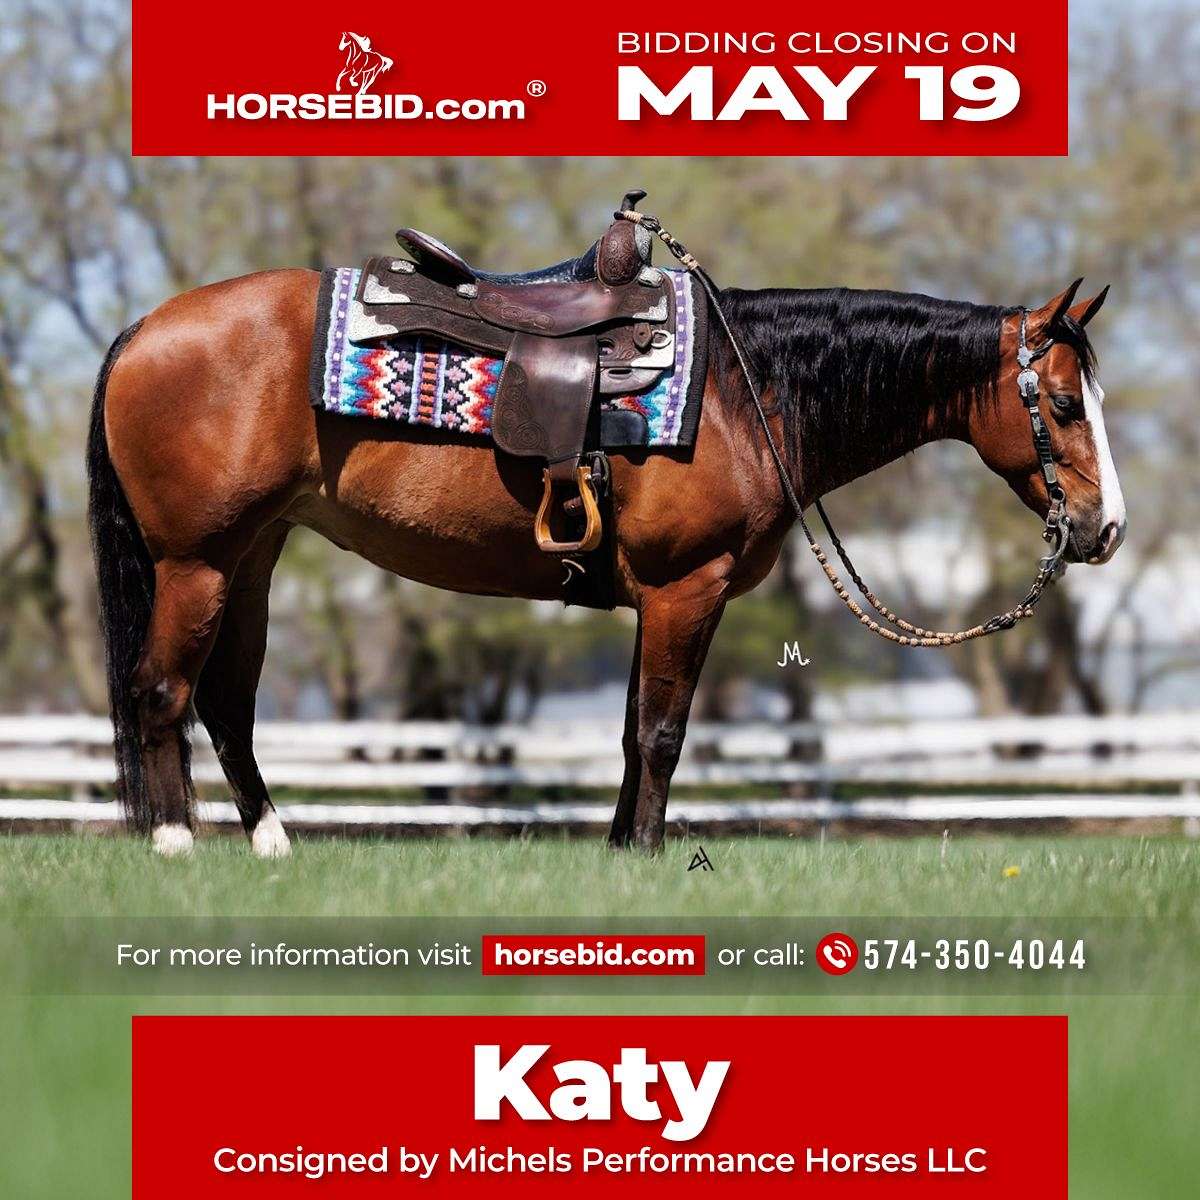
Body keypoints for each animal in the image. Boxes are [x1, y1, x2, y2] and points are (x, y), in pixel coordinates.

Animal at [86, 269, 1125, 857]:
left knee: (226, 705)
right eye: (1063, 403)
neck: (745, 391)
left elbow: (632, 732)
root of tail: (145, 327)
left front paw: (623, 847)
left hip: (251, 560)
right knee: (161, 692)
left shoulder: (651, 601)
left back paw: (271, 842)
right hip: (194, 563)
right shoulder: (685, 589)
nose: (1104, 528)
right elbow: (663, 732)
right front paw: (653, 853)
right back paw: (174, 842)